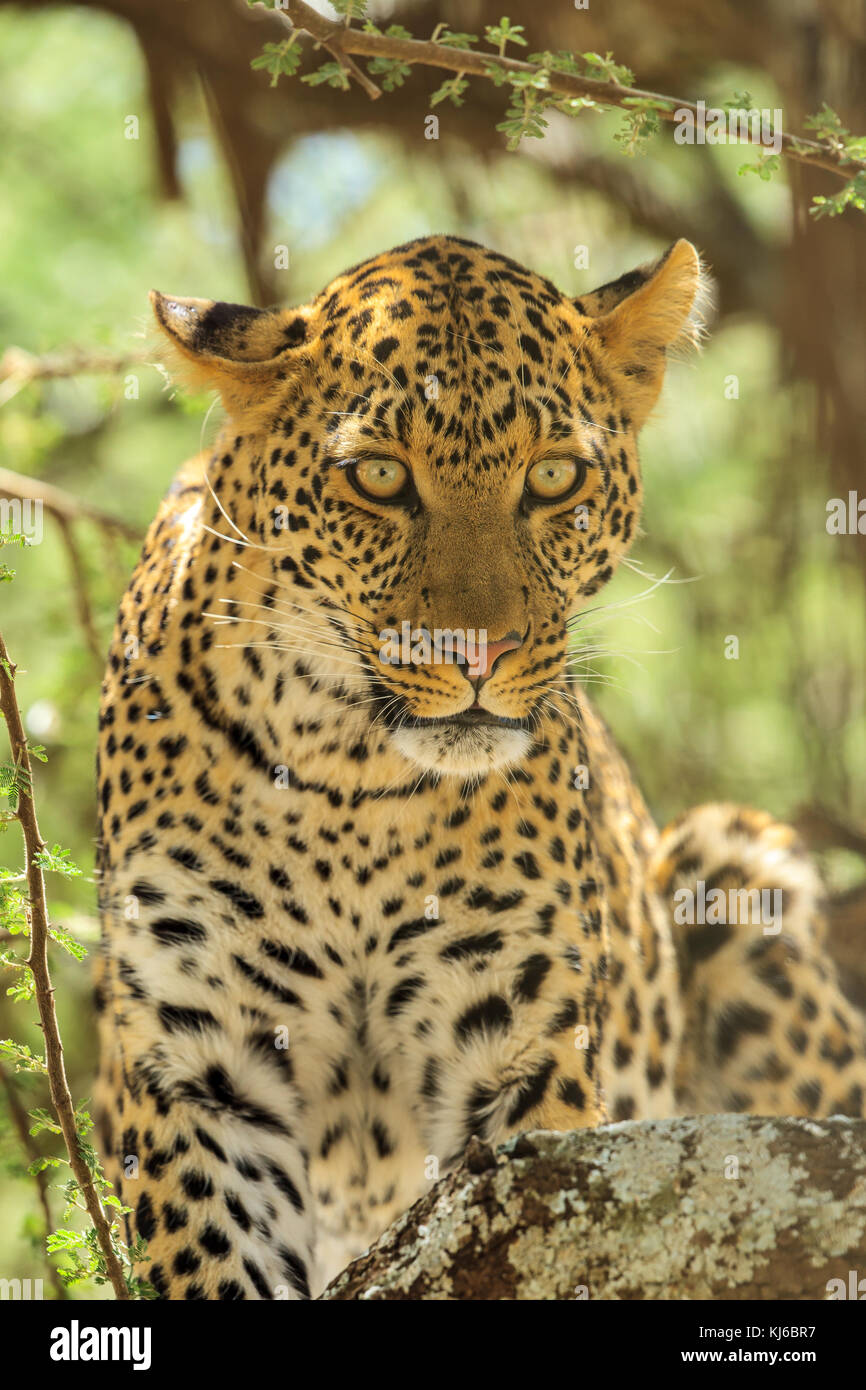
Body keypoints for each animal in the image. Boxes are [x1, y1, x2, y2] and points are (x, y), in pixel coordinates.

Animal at [94, 233, 866, 1300]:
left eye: (554, 479)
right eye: (379, 477)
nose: (476, 652)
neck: (350, 778)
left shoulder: (514, 1045)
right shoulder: (201, 1057)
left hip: (737, 872)